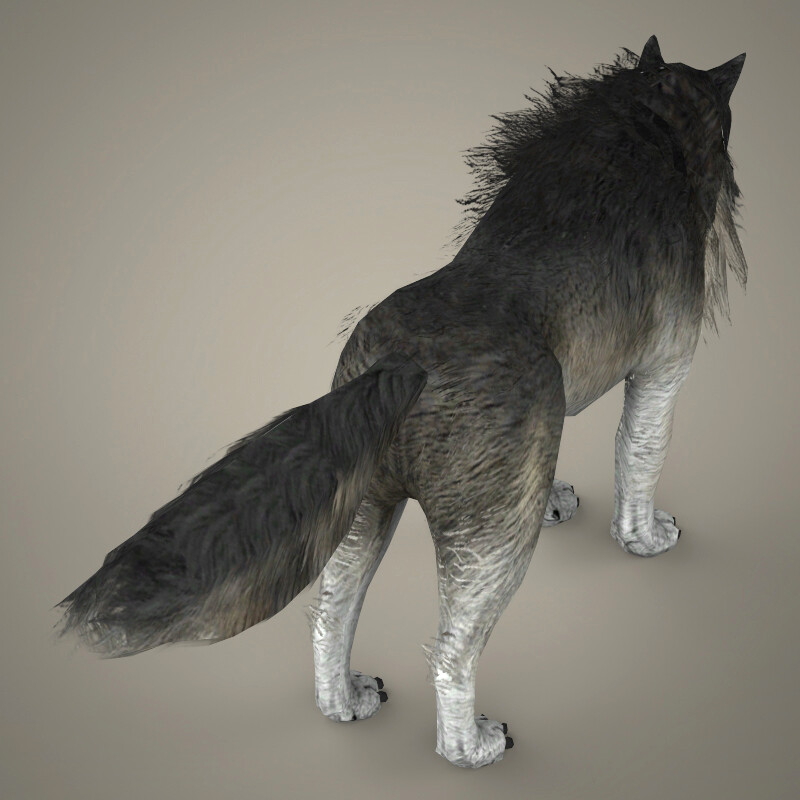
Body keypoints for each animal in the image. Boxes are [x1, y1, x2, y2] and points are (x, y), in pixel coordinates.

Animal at [56, 36, 747, 769]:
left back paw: (346, 703)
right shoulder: (665, 366)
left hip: (363, 508)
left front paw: (559, 496)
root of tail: (402, 364)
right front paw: (645, 538)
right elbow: (641, 456)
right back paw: (473, 748)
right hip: (489, 542)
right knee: (449, 654)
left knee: (331, 608)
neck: (645, 125)